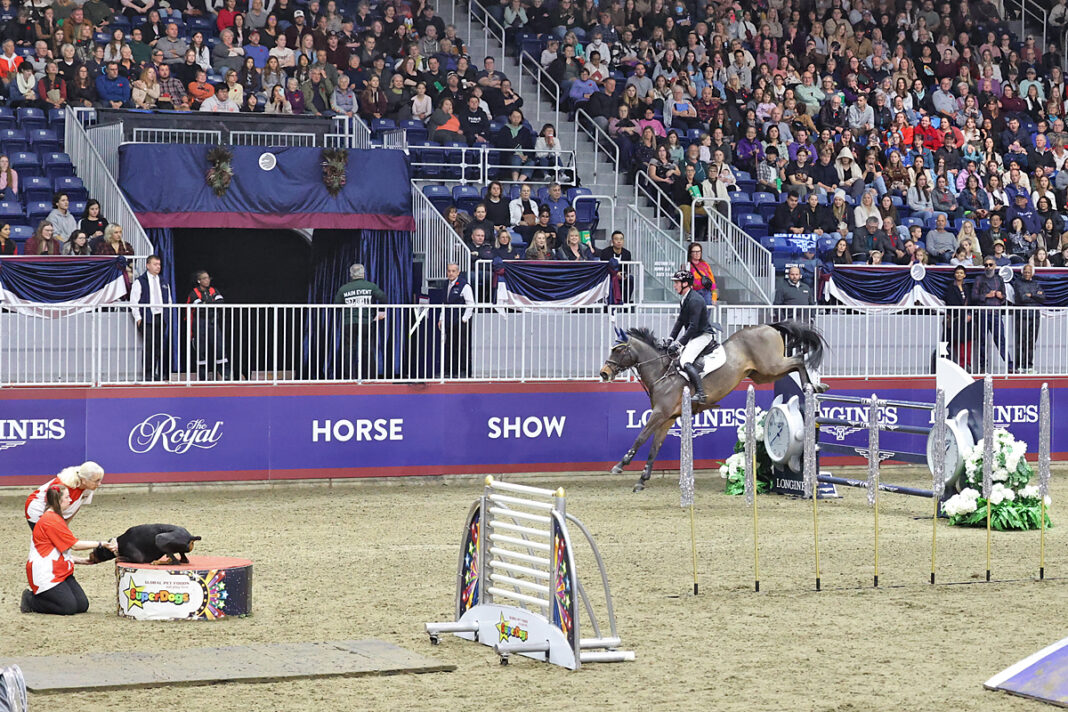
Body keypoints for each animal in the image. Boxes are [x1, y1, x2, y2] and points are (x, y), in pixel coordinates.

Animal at [599, 320, 827, 492]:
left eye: (619, 351)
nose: (604, 373)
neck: (662, 374)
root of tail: (768, 326)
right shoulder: (667, 418)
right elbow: (655, 447)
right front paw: (641, 480)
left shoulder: (659, 413)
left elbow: (641, 437)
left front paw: (620, 465)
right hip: (763, 374)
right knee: (795, 363)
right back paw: (814, 386)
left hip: (770, 366)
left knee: (798, 359)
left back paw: (812, 386)